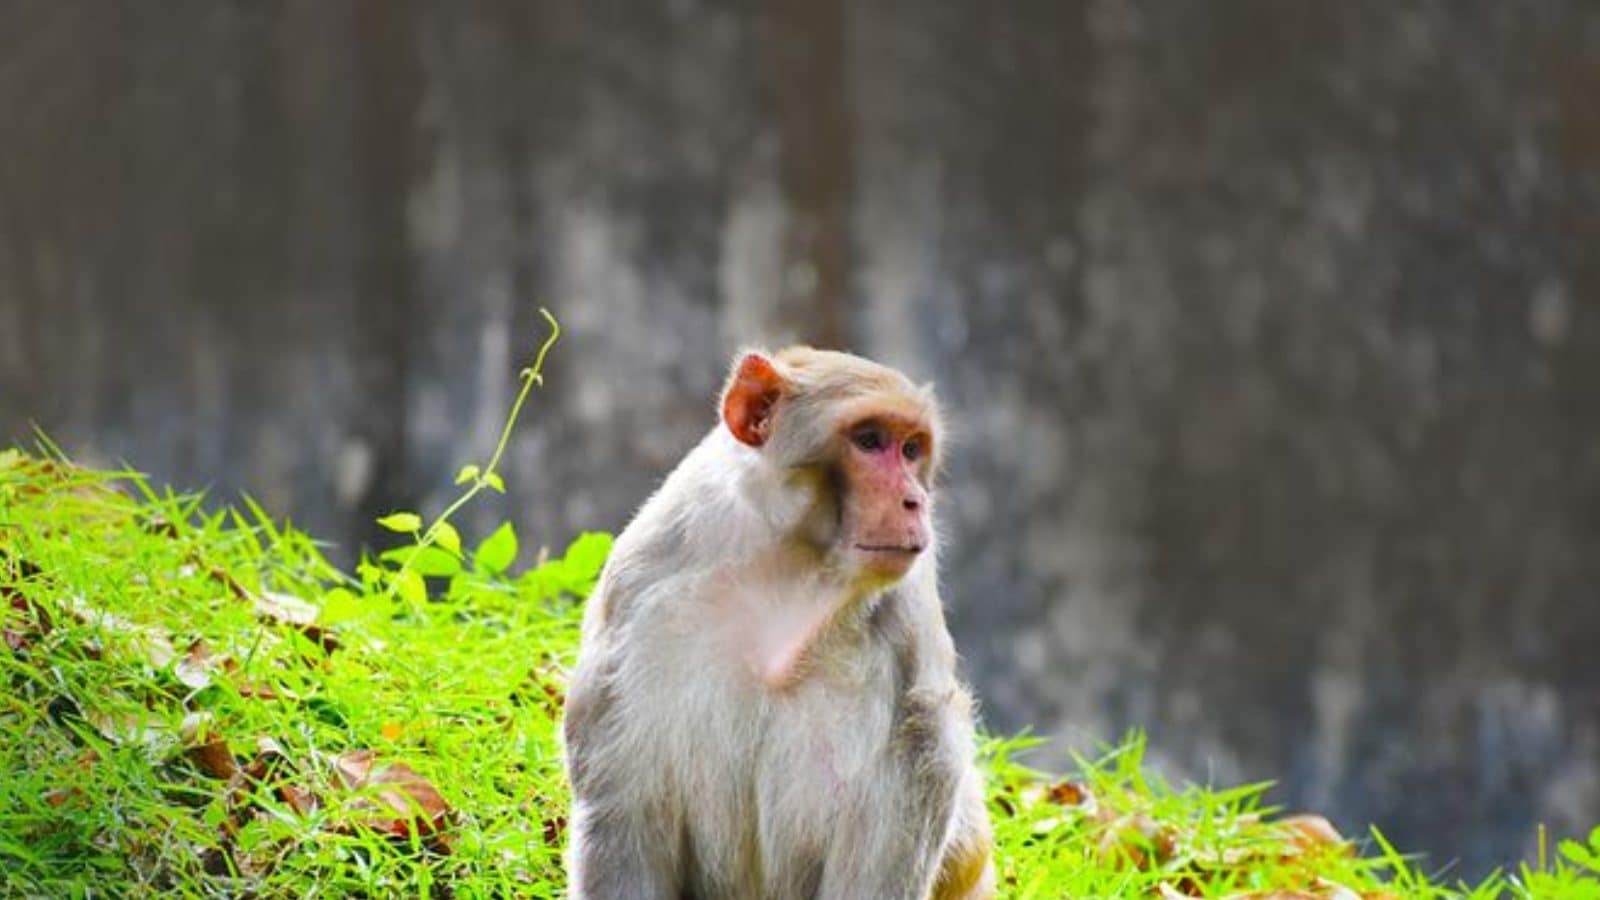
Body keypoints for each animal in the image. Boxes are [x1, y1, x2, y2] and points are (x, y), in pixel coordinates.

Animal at [562, 347, 994, 900]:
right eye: (870, 440)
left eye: (912, 448)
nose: (915, 501)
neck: (789, 566)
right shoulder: (641, 594)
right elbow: (621, 805)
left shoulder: (909, 609)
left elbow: (921, 742)